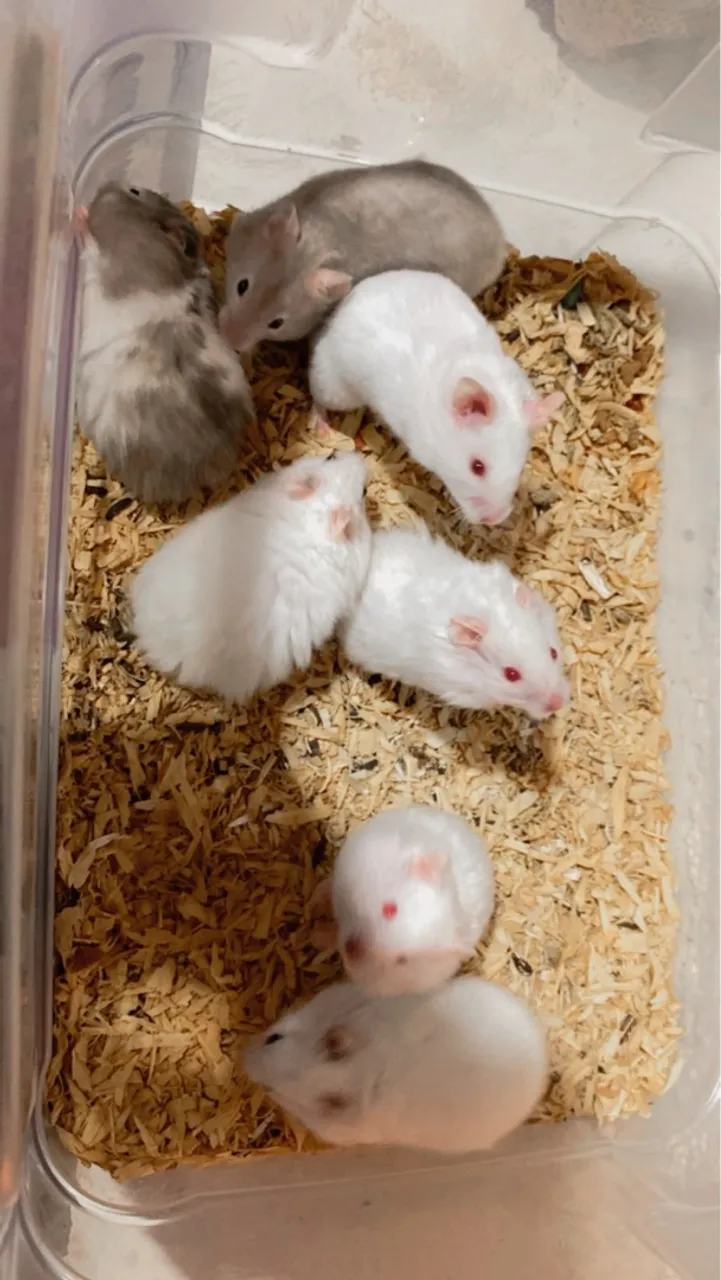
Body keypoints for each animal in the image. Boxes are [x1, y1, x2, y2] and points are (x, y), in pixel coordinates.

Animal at [309, 270, 563, 526]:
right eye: (477, 467)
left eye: (521, 469)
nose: (495, 520)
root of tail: (341, 306)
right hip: (334, 386)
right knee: (317, 397)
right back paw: (322, 428)